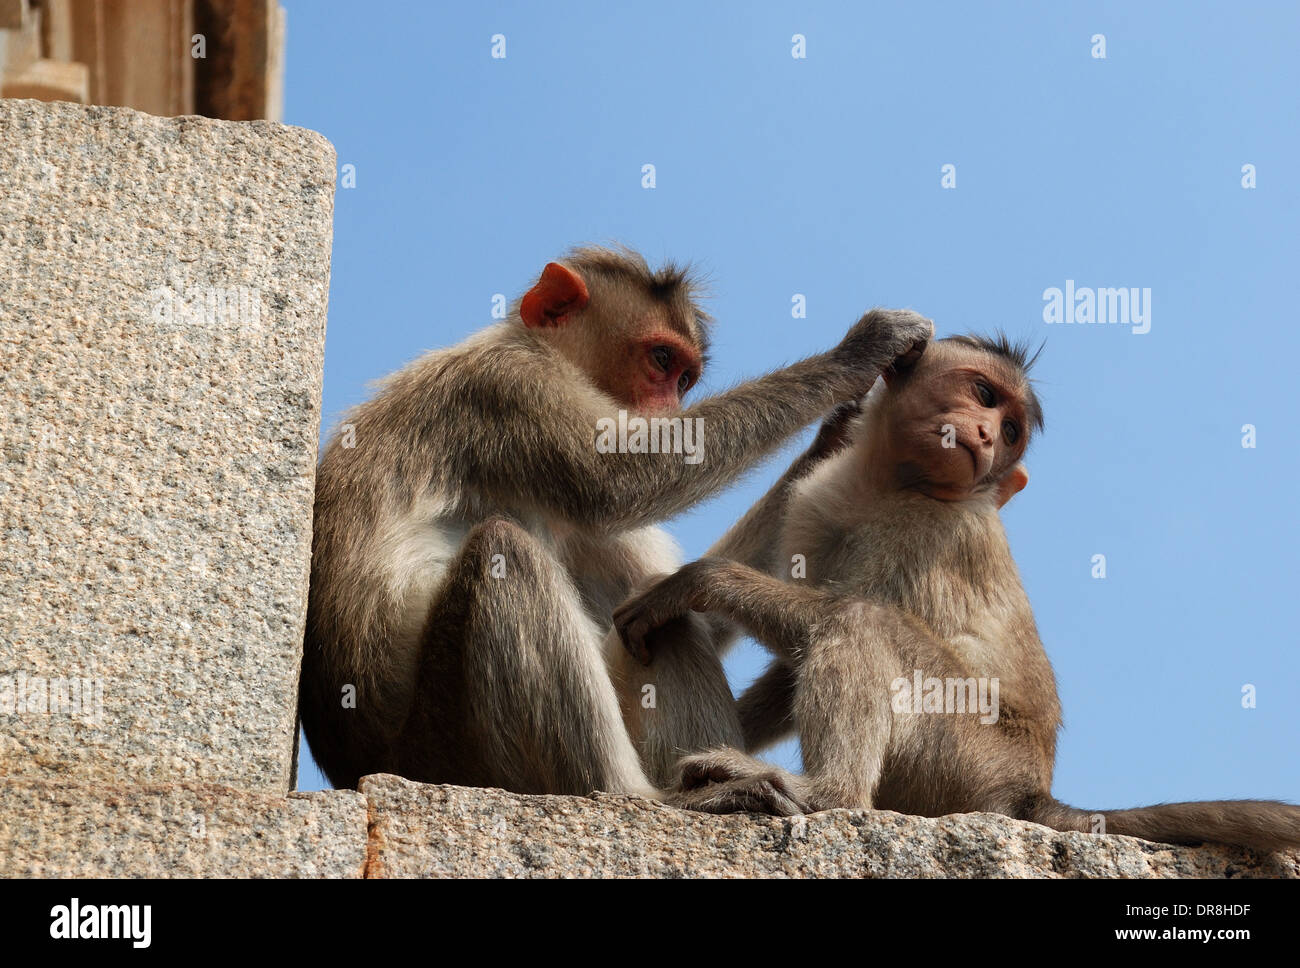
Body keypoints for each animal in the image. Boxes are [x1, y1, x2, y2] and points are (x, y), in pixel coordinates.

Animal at [299, 244, 934, 796]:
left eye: (684, 378)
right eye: (661, 360)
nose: (671, 407)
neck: (534, 346)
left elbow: (663, 603)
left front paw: (832, 438)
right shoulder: (509, 387)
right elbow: (621, 479)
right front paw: (856, 354)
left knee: (659, 614)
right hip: (449, 749)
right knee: (507, 552)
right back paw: (641, 795)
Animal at [614, 334, 1300, 852]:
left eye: (1011, 428)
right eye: (986, 395)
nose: (990, 434)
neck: (888, 485)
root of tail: (1031, 791)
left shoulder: (933, 531)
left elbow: (827, 621)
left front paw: (703, 580)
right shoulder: (816, 507)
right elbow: (790, 669)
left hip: (967, 760)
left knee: (861, 622)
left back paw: (824, 794)